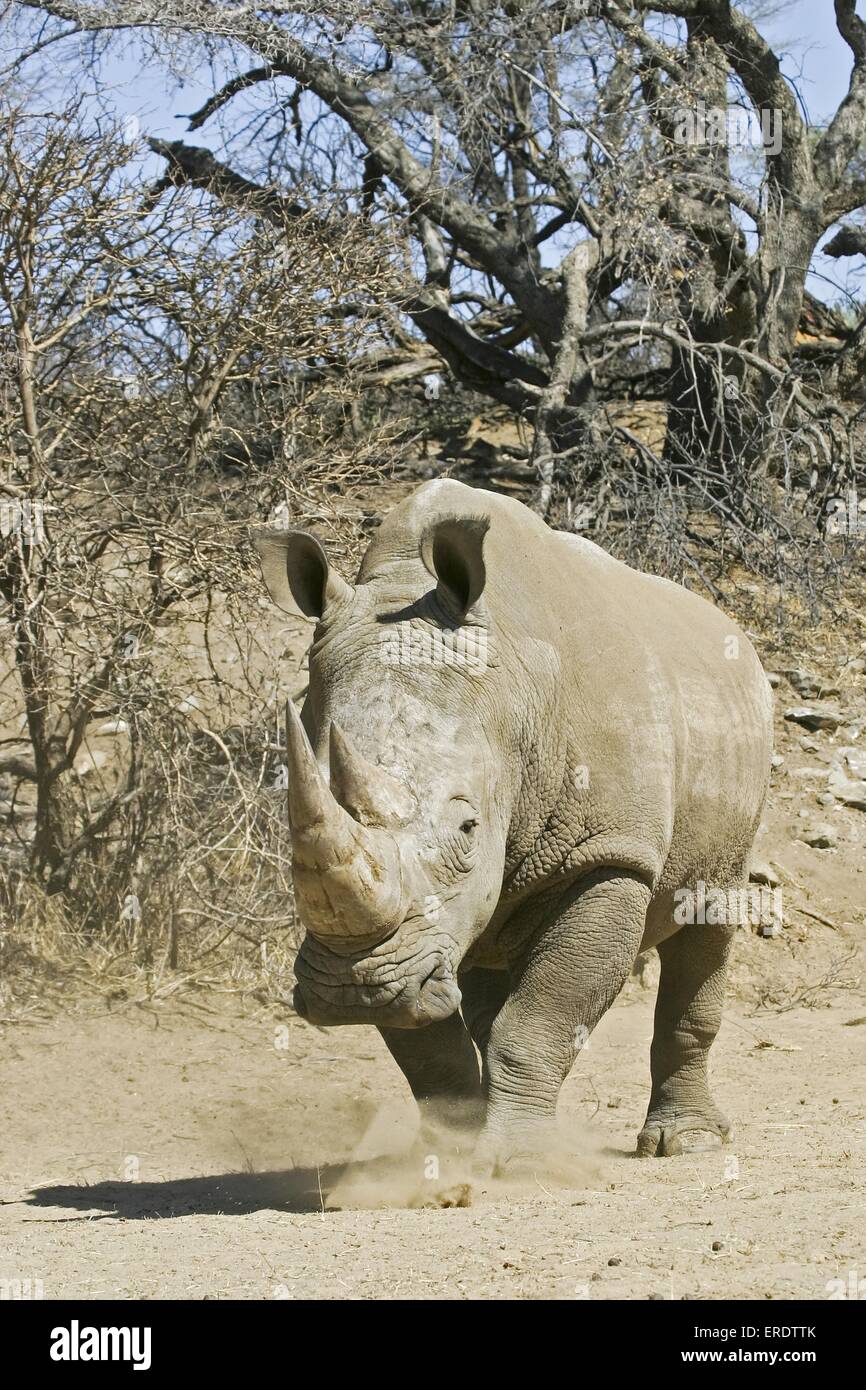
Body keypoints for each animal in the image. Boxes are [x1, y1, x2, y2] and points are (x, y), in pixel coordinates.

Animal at [255, 479, 773, 1173]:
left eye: (468, 827)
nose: (349, 991)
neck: (514, 697)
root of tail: (732, 630)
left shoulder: (608, 853)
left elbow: (541, 1016)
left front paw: (520, 1164)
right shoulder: (416, 940)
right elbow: (431, 1048)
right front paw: (448, 1157)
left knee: (708, 914)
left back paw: (684, 1145)